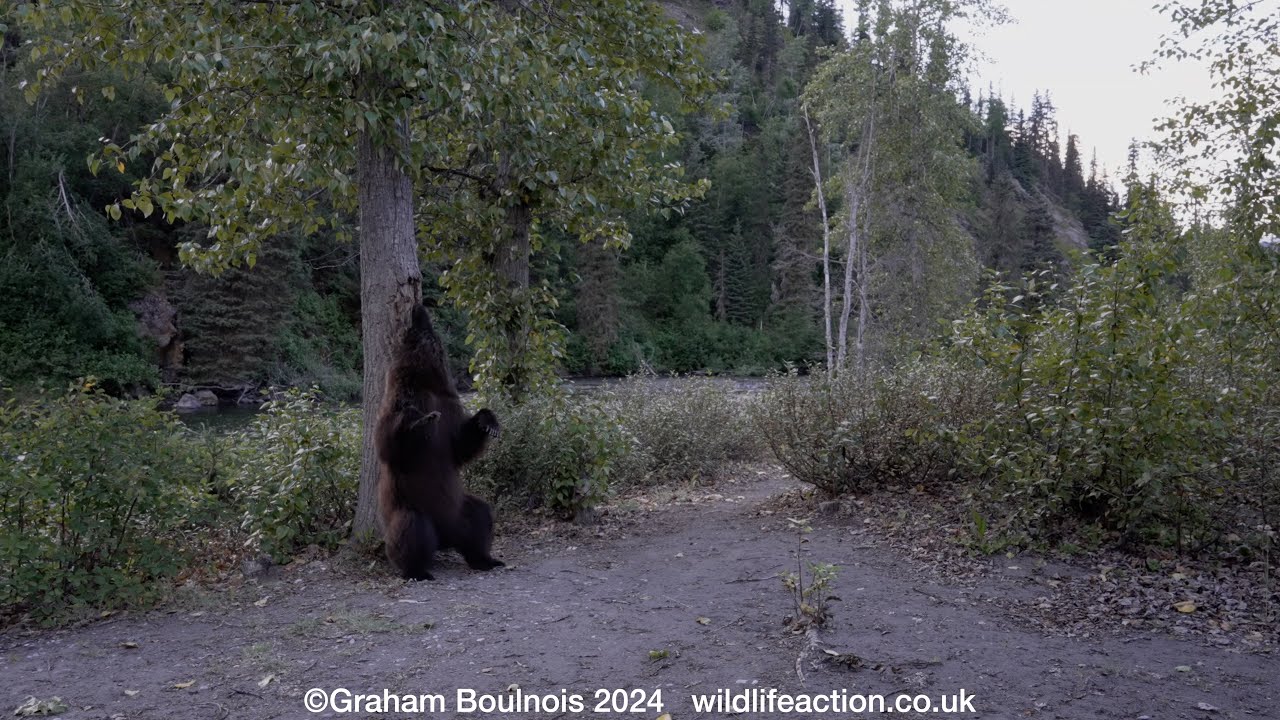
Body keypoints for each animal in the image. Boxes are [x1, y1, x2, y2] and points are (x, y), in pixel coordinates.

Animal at [376, 303, 504, 580]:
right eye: (411, 329)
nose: (418, 306)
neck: (425, 382)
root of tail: (445, 538)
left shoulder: (451, 407)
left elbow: (460, 446)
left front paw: (487, 421)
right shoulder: (398, 401)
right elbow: (388, 444)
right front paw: (420, 421)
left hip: (458, 510)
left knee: (479, 516)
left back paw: (486, 559)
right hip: (414, 507)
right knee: (412, 529)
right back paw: (416, 570)